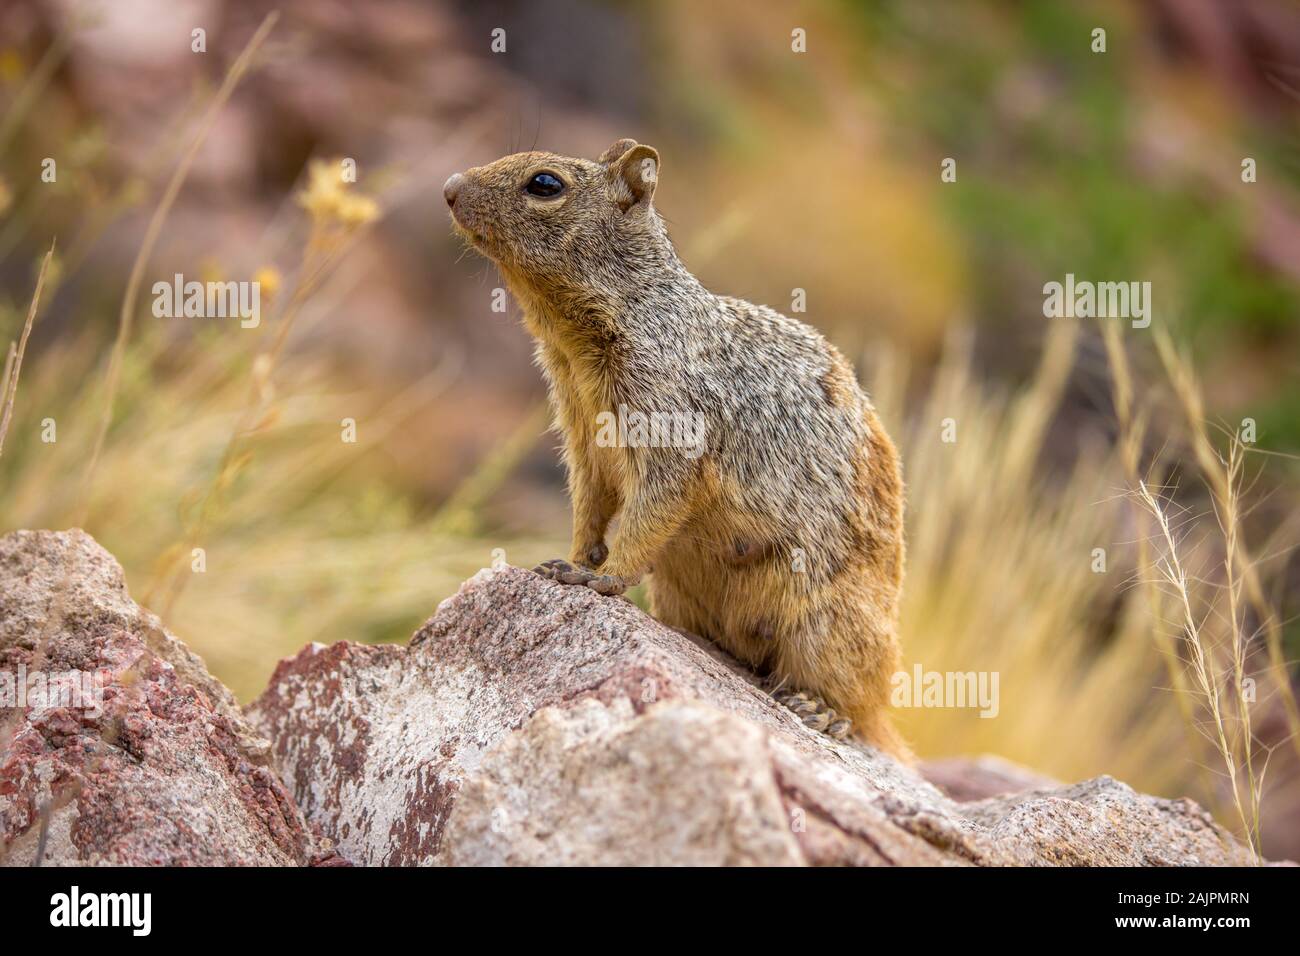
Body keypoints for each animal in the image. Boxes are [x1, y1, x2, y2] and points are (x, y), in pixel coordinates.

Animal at [443, 139, 909, 759]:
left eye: (545, 183)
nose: (449, 186)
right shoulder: (581, 434)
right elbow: (589, 500)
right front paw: (572, 559)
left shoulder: (670, 422)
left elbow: (656, 504)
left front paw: (602, 577)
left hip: (831, 624)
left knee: (860, 707)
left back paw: (822, 710)